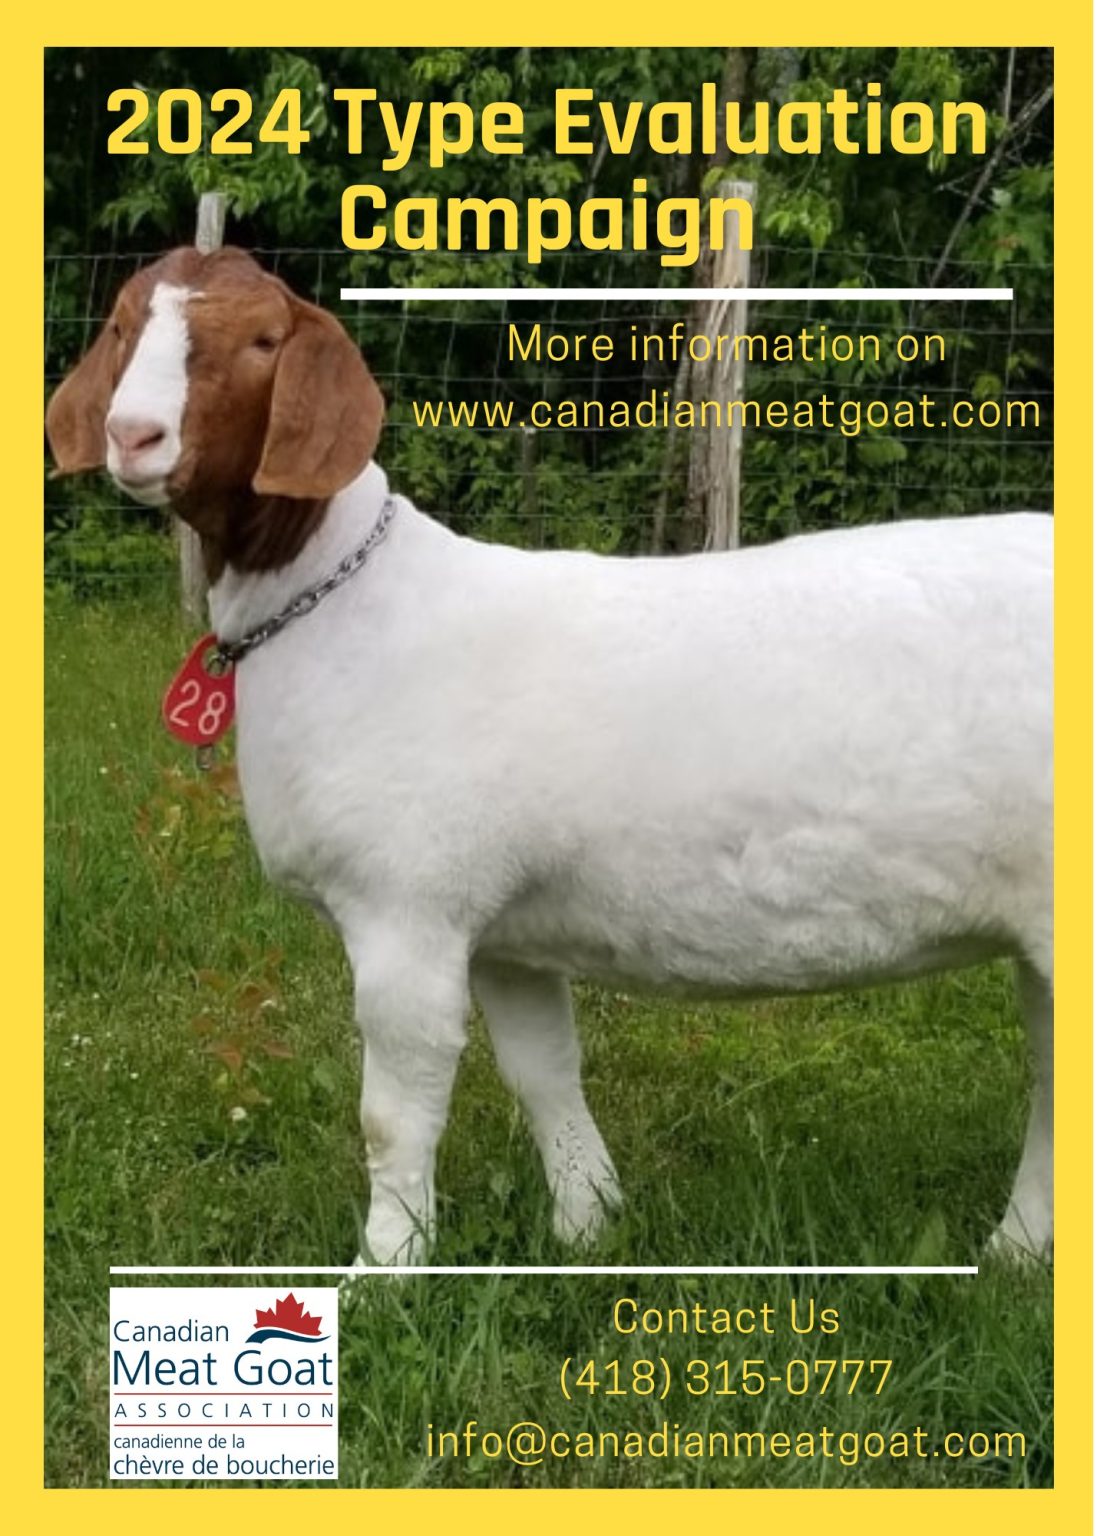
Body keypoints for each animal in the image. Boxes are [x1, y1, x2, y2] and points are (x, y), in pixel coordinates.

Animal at [46, 246, 1053, 1266]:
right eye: (123, 325)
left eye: (262, 341)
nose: (133, 433)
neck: (341, 600)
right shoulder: (503, 930)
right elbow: (542, 1071)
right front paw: (587, 1224)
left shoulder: (406, 909)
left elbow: (394, 1115)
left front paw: (385, 1268)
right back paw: (1021, 1250)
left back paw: (1013, 1253)